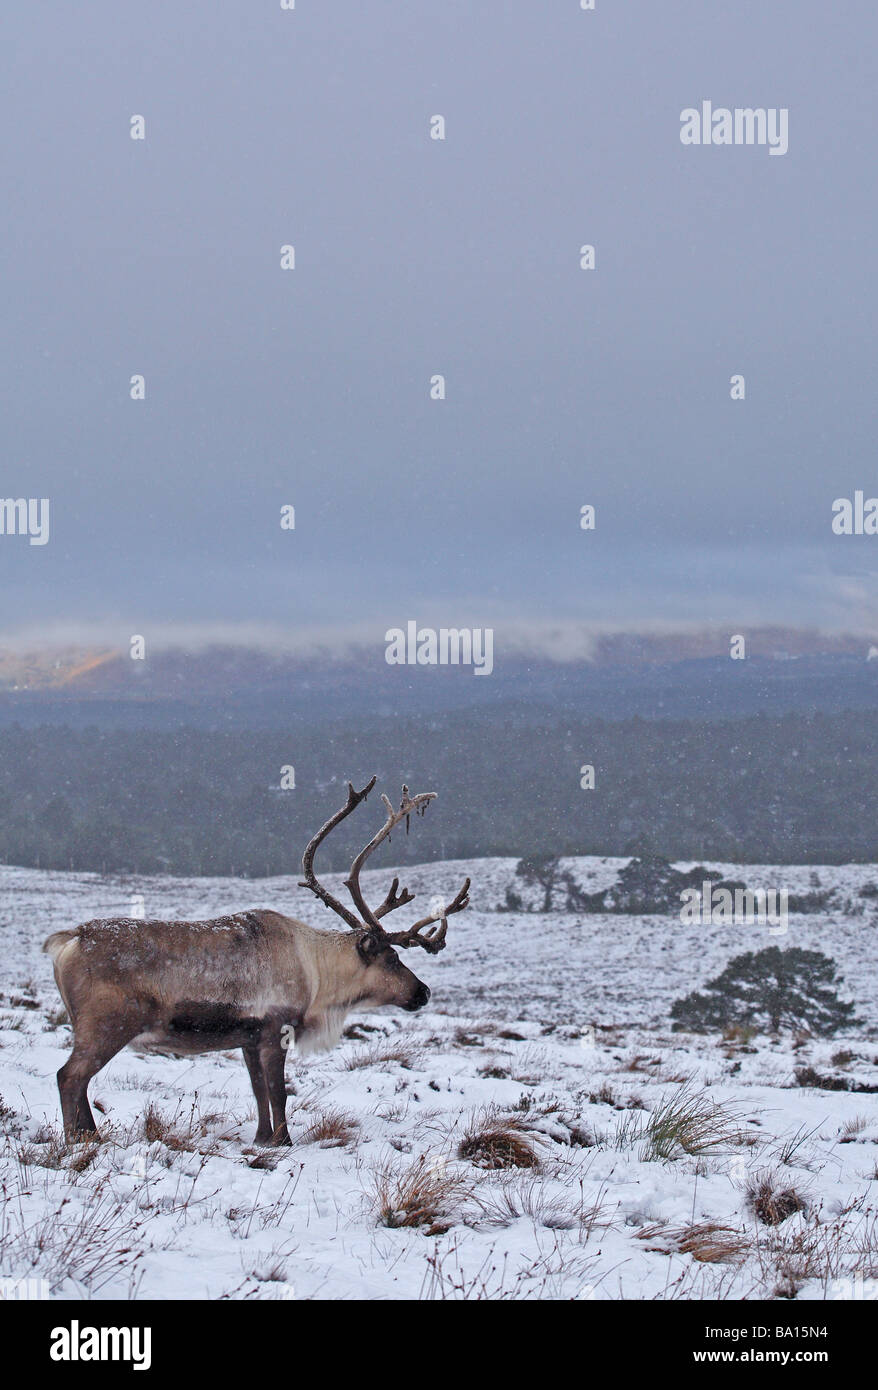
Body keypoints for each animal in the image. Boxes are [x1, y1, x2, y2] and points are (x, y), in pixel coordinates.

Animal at [43, 778, 469, 1146]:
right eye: (393, 957)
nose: (424, 992)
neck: (316, 975)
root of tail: (67, 940)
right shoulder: (275, 1028)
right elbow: (278, 1092)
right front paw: (284, 1141)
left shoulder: (248, 1038)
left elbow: (258, 1091)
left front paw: (263, 1137)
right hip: (108, 1024)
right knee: (69, 1076)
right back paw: (78, 1141)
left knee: (77, 1079)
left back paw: (89, 1136)